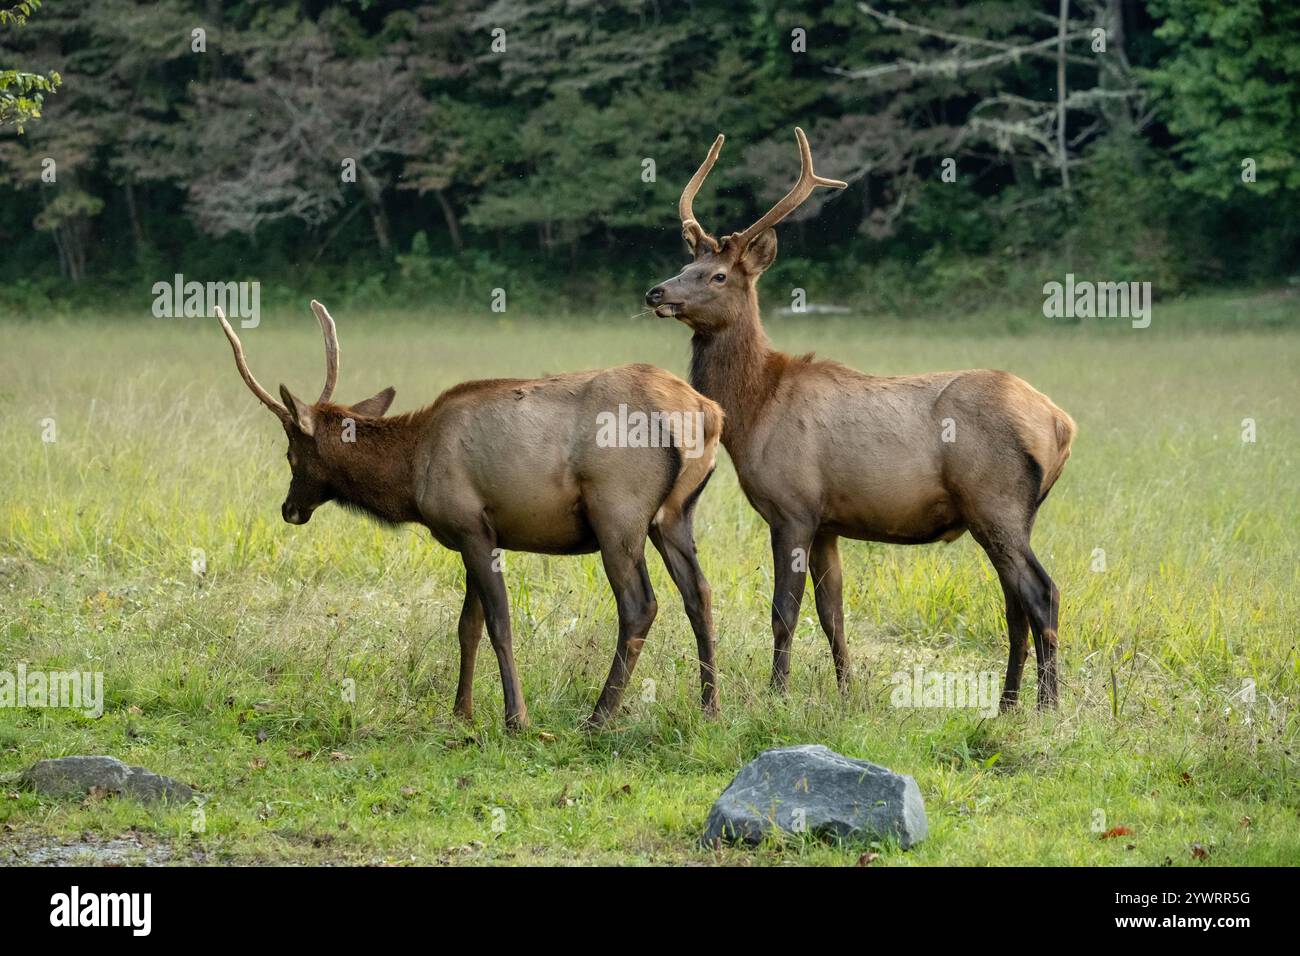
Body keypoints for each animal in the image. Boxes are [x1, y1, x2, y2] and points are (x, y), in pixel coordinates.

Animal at [215, 300, 723, 731]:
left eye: (291, 454)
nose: (290, 509)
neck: (411, 472)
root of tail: (708, 413)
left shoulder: (469, 526)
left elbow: (499, 623)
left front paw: (516, 718)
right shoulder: (482, 532)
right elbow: (468, 626)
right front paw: (462, 712)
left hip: (618, 511)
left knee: (640, 605)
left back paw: (599, 717)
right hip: (674, 516)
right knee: (698, 592)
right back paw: (709, 707)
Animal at [645, 128, 1076, 710]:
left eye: (716, 275)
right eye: (684, 266)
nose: (657, 292)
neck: (755, 409)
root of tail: (1061, 425)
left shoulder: (793, 508)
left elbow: (784, 613)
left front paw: (778, 694)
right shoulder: (828, 522)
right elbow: (834, 616)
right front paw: (846, 692)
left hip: (997, 501)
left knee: (1042, 592)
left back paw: (1046, 707)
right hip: (1012, 514)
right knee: (1016, 607)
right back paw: (1007, 705)